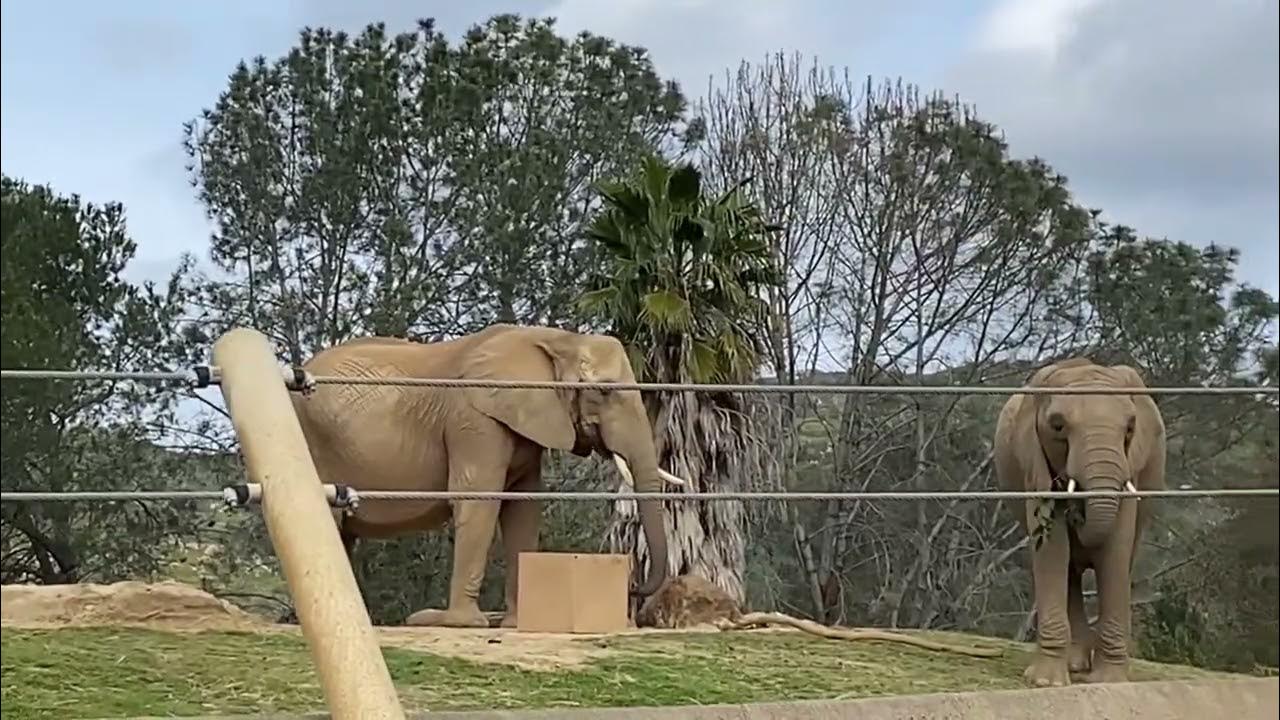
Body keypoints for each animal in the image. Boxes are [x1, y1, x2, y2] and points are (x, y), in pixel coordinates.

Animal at [290, 324, 687, 628]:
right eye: (604, 390)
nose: (632, 587)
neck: (557, 339)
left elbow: (522, 511)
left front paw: (515, 623)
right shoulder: (474, 418)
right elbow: (478, 498)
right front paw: (463, 623)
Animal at [993, 357, 1166, 687]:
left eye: (1130, 428)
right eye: (1058, 426)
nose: (1078, 513)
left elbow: (1115, 549)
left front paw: (1109, 682)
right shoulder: (1035, 467)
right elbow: (1053, 549)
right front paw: (1046, 683)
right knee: (1070, 571)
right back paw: (1074, 664)